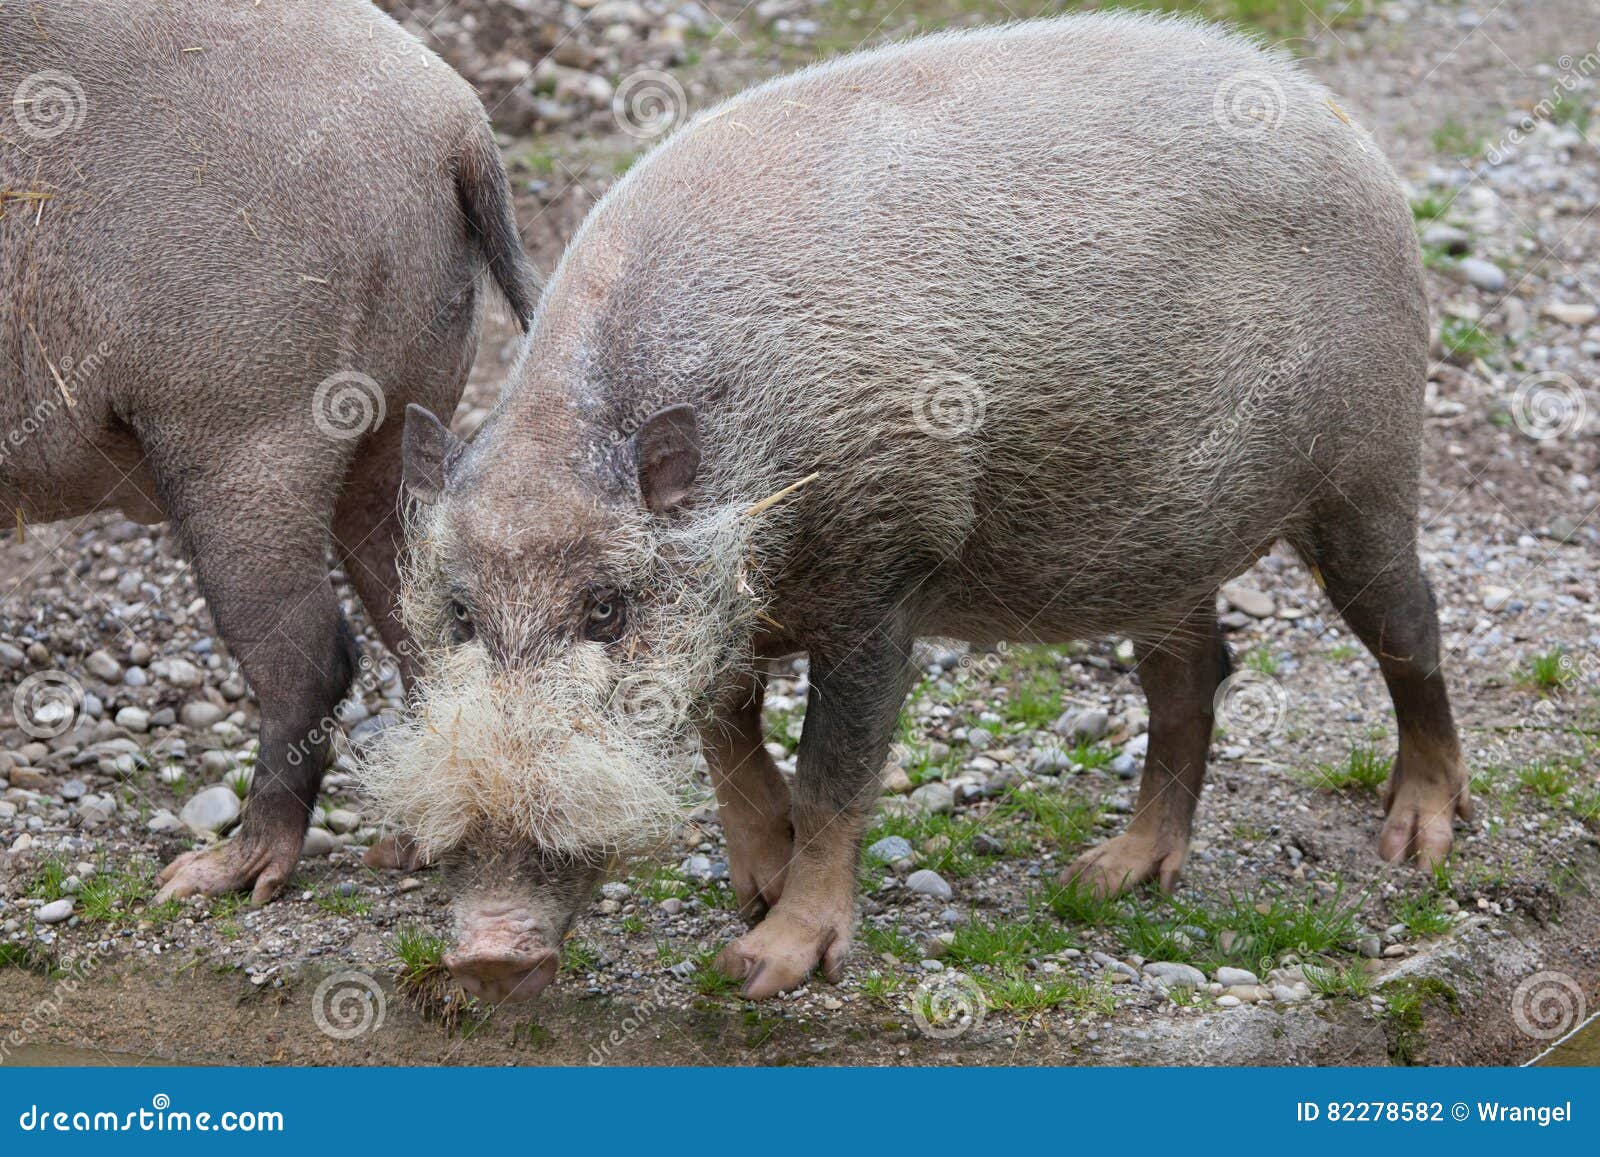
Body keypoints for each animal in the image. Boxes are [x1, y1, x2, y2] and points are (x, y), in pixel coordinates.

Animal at [0, 0, 535, 903]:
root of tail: (457, 126)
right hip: (394, 426)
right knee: (424, 612)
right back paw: (412, 843)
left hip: (243, 433)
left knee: (316, 652)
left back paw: (219, 872)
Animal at [361, 12, 1471, 1003]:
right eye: (457, 614)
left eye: (605, 609)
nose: (488, 952)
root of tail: (1347, 131)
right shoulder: (732, 603)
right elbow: (729, 736)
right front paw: (754, 892)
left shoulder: (885, 573)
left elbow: (836, 775)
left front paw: (761, 966)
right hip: (1167, 552)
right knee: (1193, 674)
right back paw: (1106, 877)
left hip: (1367, 470)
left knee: (1411, 627)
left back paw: (1414, 844)